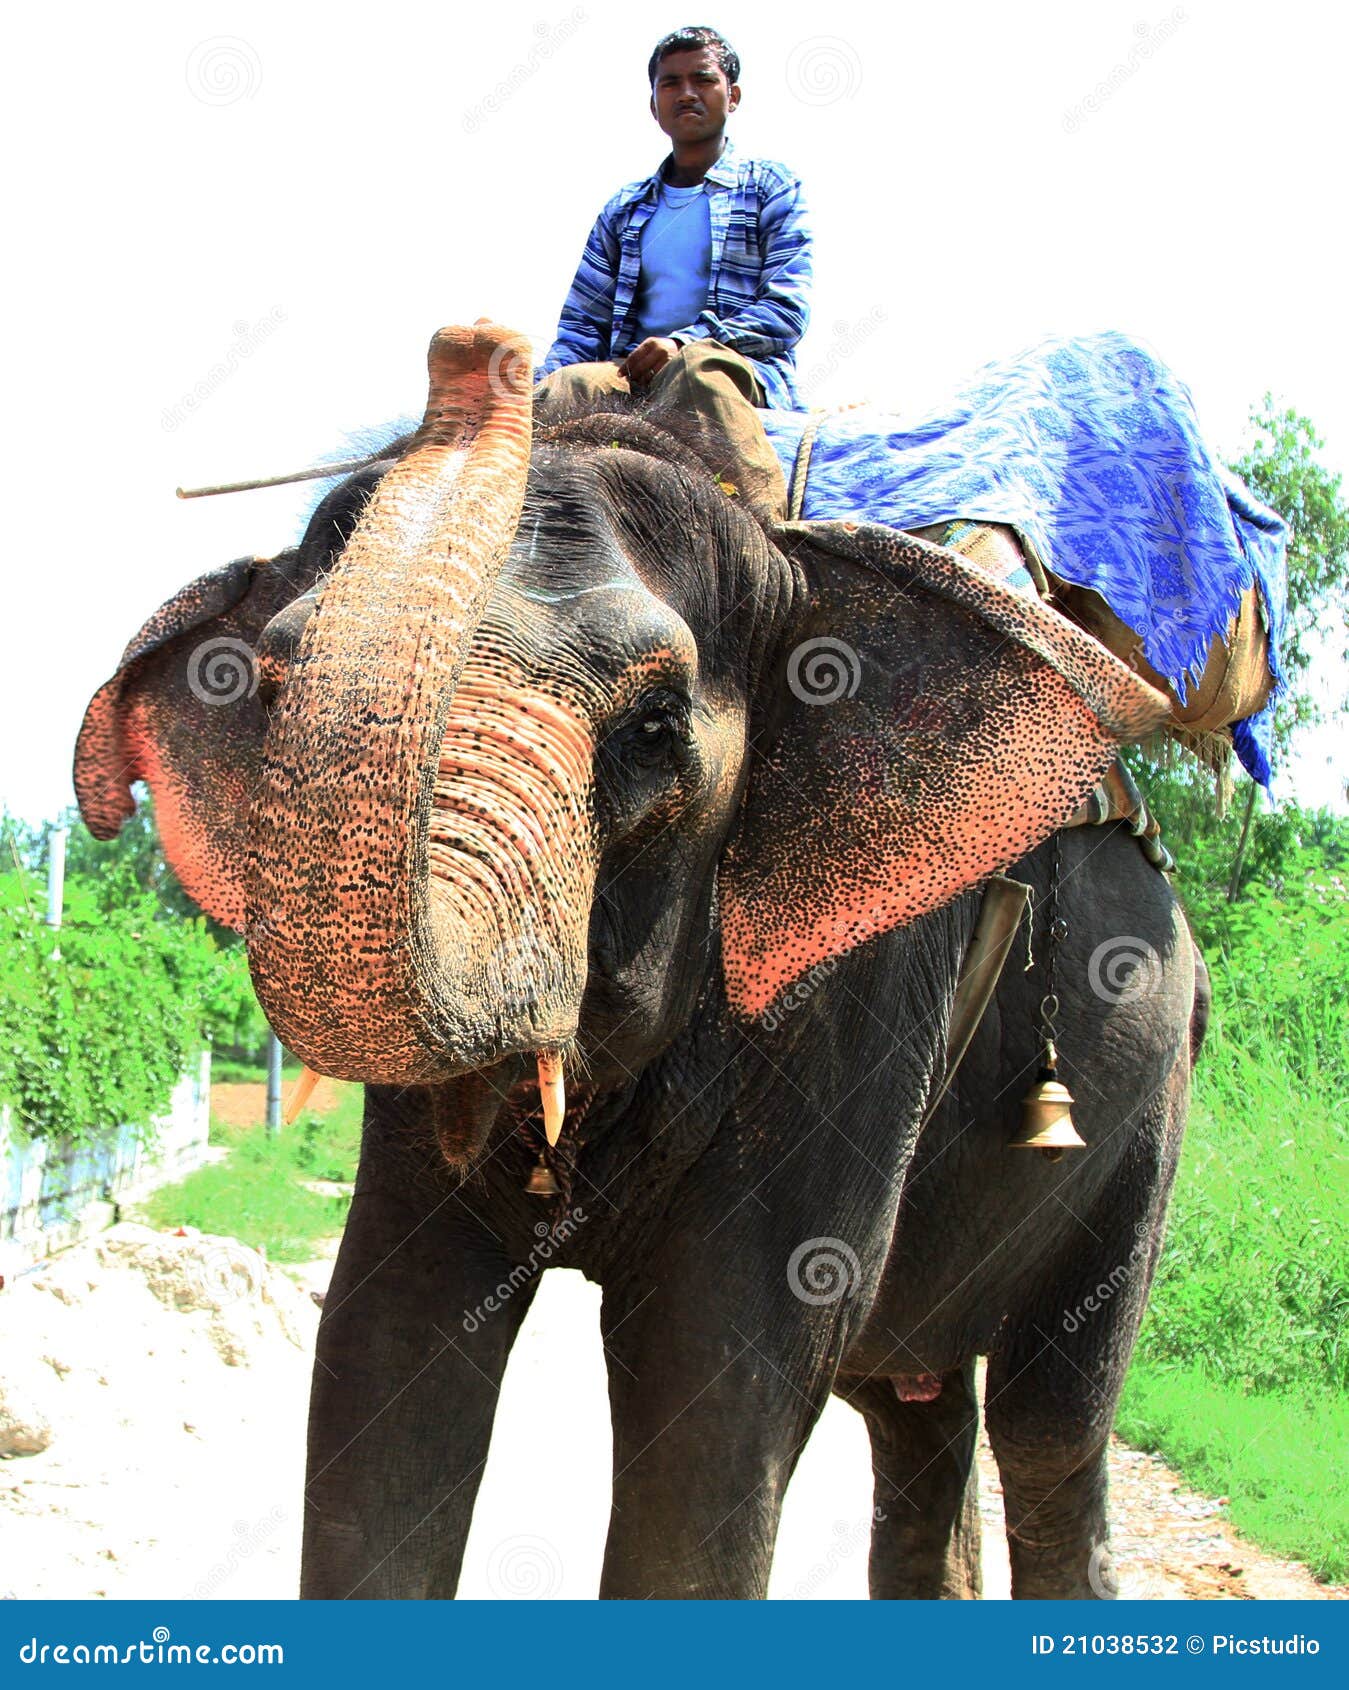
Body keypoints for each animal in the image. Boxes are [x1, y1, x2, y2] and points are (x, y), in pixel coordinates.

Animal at [75, 323, 1205, 1600]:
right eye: (268, 688)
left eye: (653, 730)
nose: (474, 348)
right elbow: (385, 1334)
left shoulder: (862, 984)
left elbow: (722, 1378)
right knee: (912, 1414)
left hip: (1144, 1119)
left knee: (1052, 1424)